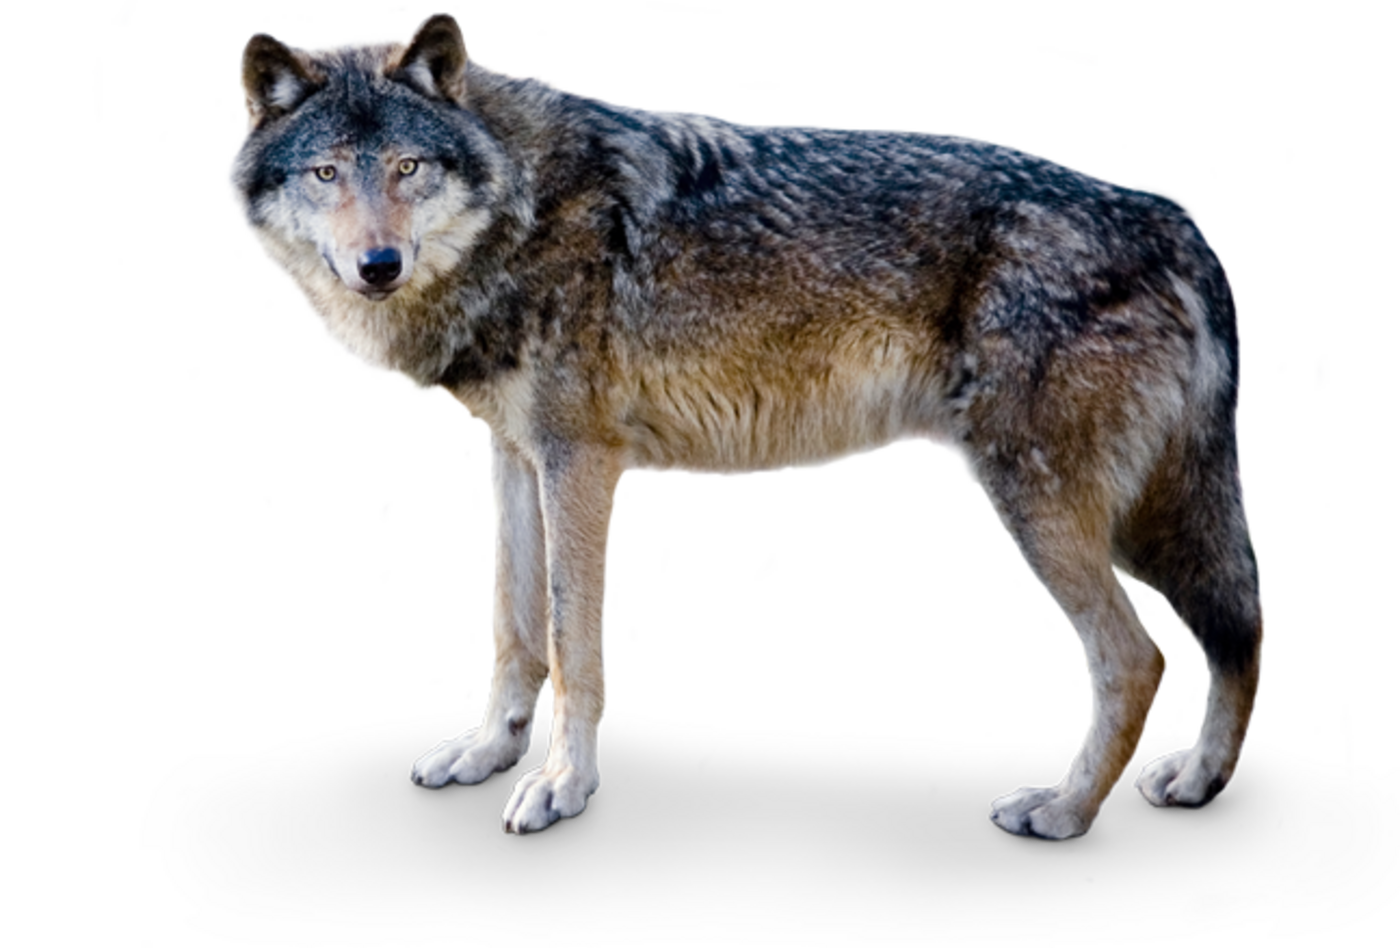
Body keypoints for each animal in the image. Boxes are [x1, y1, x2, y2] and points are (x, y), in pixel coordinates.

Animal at [224, 12, 1266, 839]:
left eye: (406, 167)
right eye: (326, 173)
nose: (379, 265)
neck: (522, 203)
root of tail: (1163, 208)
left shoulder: (580, 462)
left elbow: (572, 642)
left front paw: (561, 786)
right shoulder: (516, 456)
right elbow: (512, 629)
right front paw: (486, 755)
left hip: (1046, 508)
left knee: (1140, 657)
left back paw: (1061, 812)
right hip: (1135, 514)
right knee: (1238, 627)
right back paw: (1198, 782)